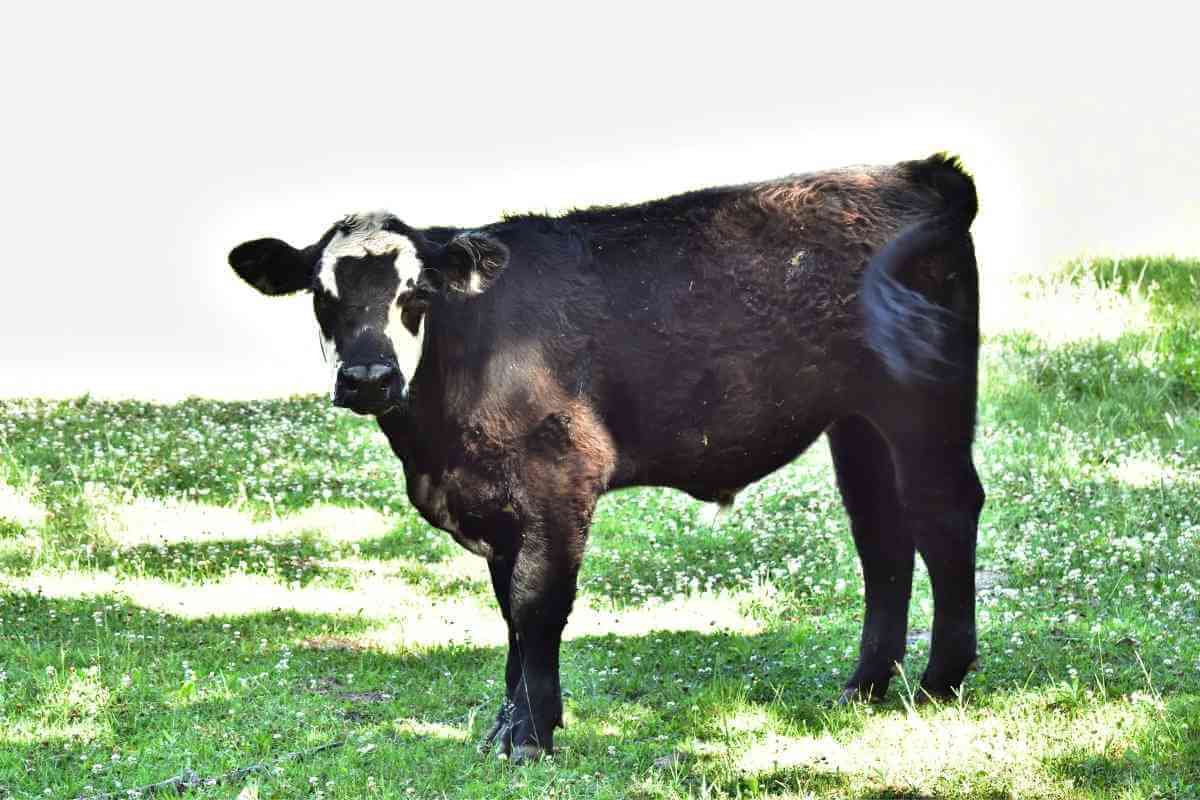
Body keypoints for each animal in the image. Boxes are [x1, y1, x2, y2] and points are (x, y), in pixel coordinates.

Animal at [228, 153, 984, 761]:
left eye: (416, 293)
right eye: (322, 295)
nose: (368, 379)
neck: (434, 442)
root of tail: (916, 169)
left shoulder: (559, 481)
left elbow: (536, 609)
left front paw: (530, 735)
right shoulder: (499, 505)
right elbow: (510, 614)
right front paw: (513, 724)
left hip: (926, 400)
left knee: (944, 515)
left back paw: (939, 681)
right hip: (857, 424)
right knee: (882, 535)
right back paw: (865, 685)